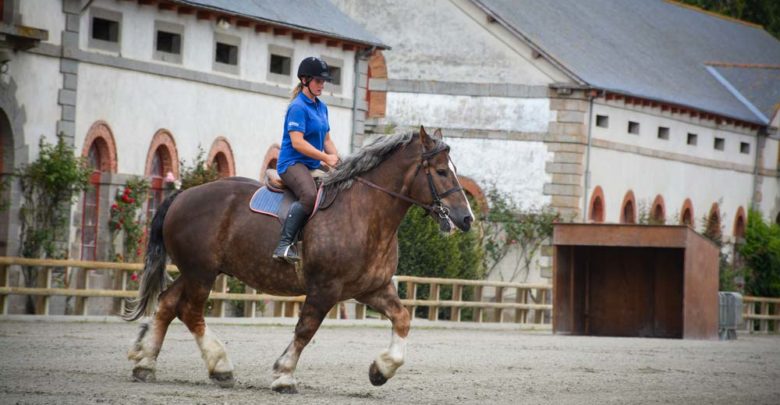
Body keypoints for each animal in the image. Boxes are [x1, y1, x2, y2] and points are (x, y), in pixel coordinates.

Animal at [123, 126, 474, 393]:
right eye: (441, 172)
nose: (466, 218)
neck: (364, 213)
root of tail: (182, 195)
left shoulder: (372, 288)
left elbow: (402, 318)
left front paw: (381, 369)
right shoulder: (325, 289)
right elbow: (306, 330)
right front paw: (284, 375)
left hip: (196, 271)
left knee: (169, 304)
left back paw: (146, 363)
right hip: (202, 273)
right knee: (191, 311)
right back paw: (219, 365)